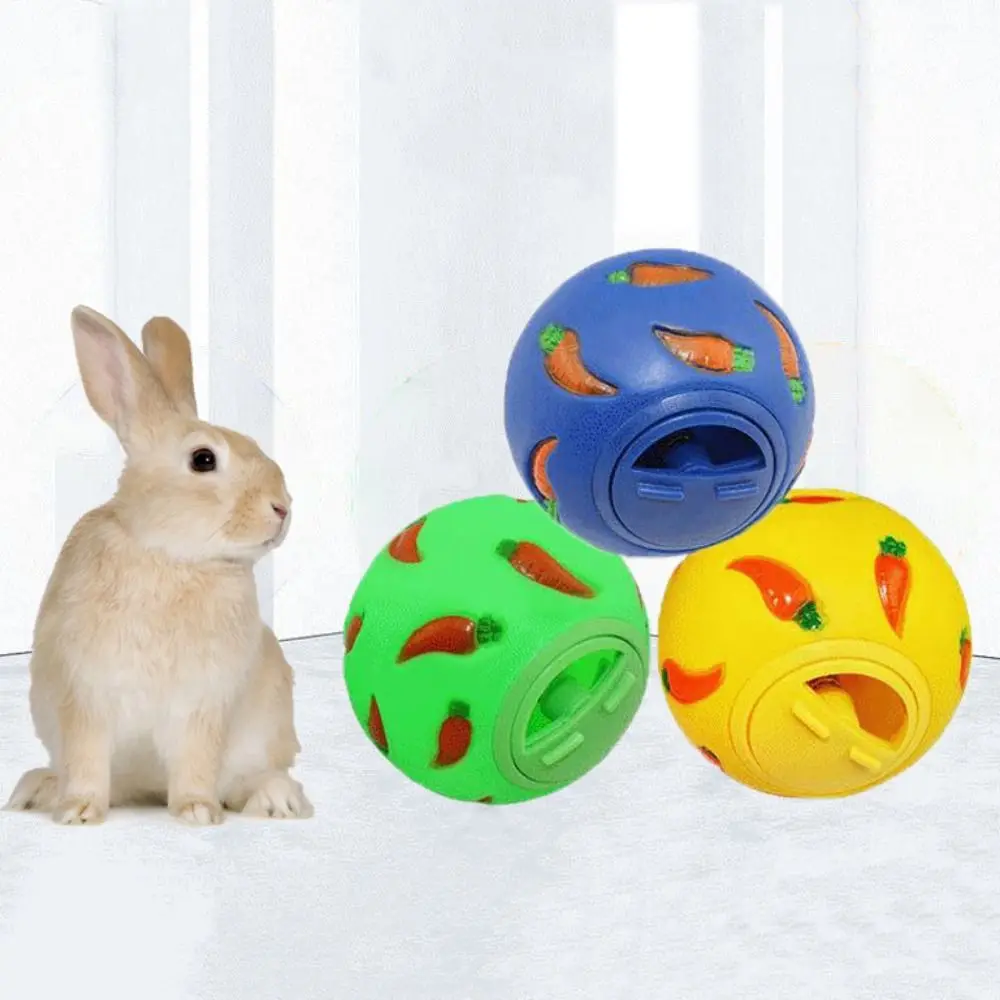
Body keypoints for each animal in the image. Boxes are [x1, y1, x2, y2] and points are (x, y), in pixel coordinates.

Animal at [3, 305, 313, 825]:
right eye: (203, 459)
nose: (282, 508)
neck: (168, 554)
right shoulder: (85, 697)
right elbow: (87, 760)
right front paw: (78, 811)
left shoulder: (203, 706)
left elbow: (197, 763)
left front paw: (197, 812)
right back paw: (38, 790)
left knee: (250, 777)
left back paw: (277, 799)